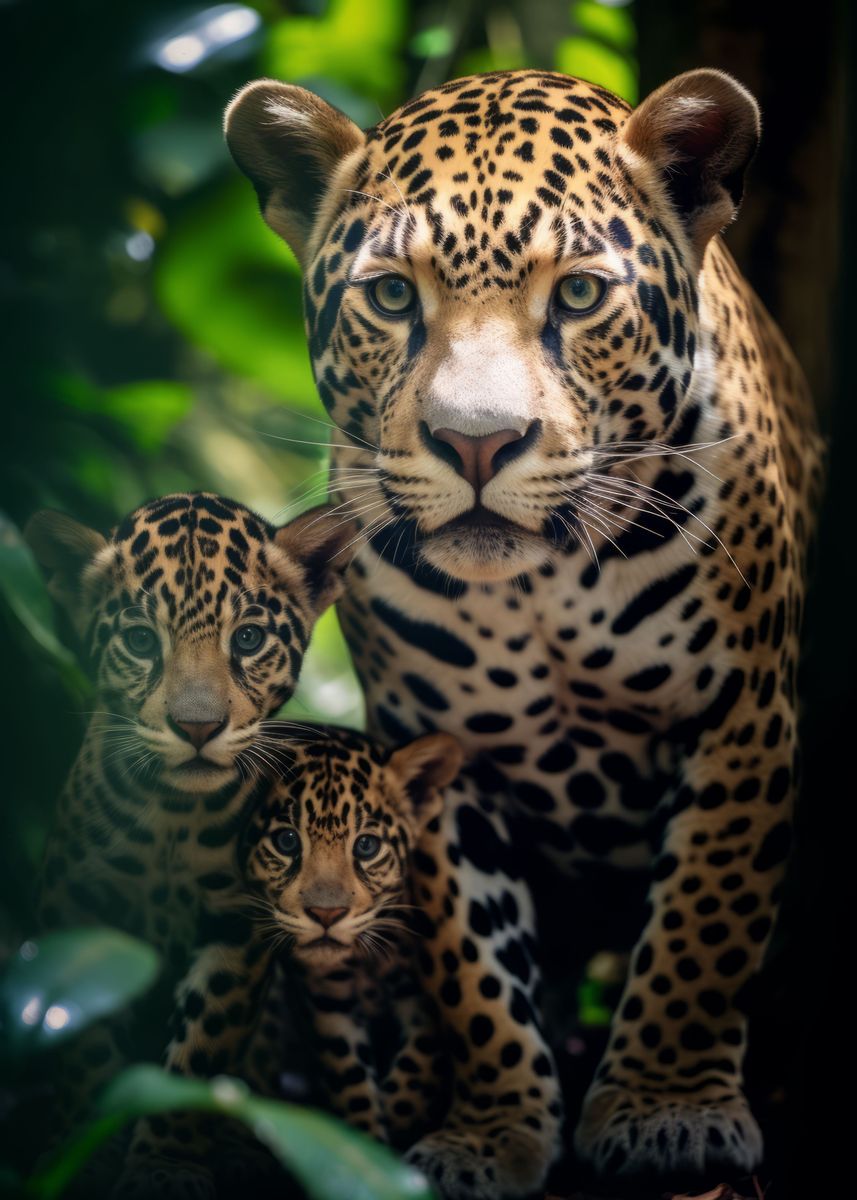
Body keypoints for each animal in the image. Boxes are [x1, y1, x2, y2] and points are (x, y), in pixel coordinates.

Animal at [25, 492, 358, 1194]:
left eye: (249, 639)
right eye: (140, 640)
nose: (198, 728)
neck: (172, 821)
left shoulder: (240, 924)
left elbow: (204, 1045)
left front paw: (166, 1164)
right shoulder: (77, 910)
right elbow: (84, 1046)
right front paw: (88, 1151)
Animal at [239, 723, 462, 1149]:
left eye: (367, 846)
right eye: (287, 841)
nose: (327, 914)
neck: (363, 963)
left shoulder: (420, 990)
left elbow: (423, 1054)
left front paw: (399, 1117)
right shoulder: (326, 1001)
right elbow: (348, 1076)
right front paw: (365, 1143)